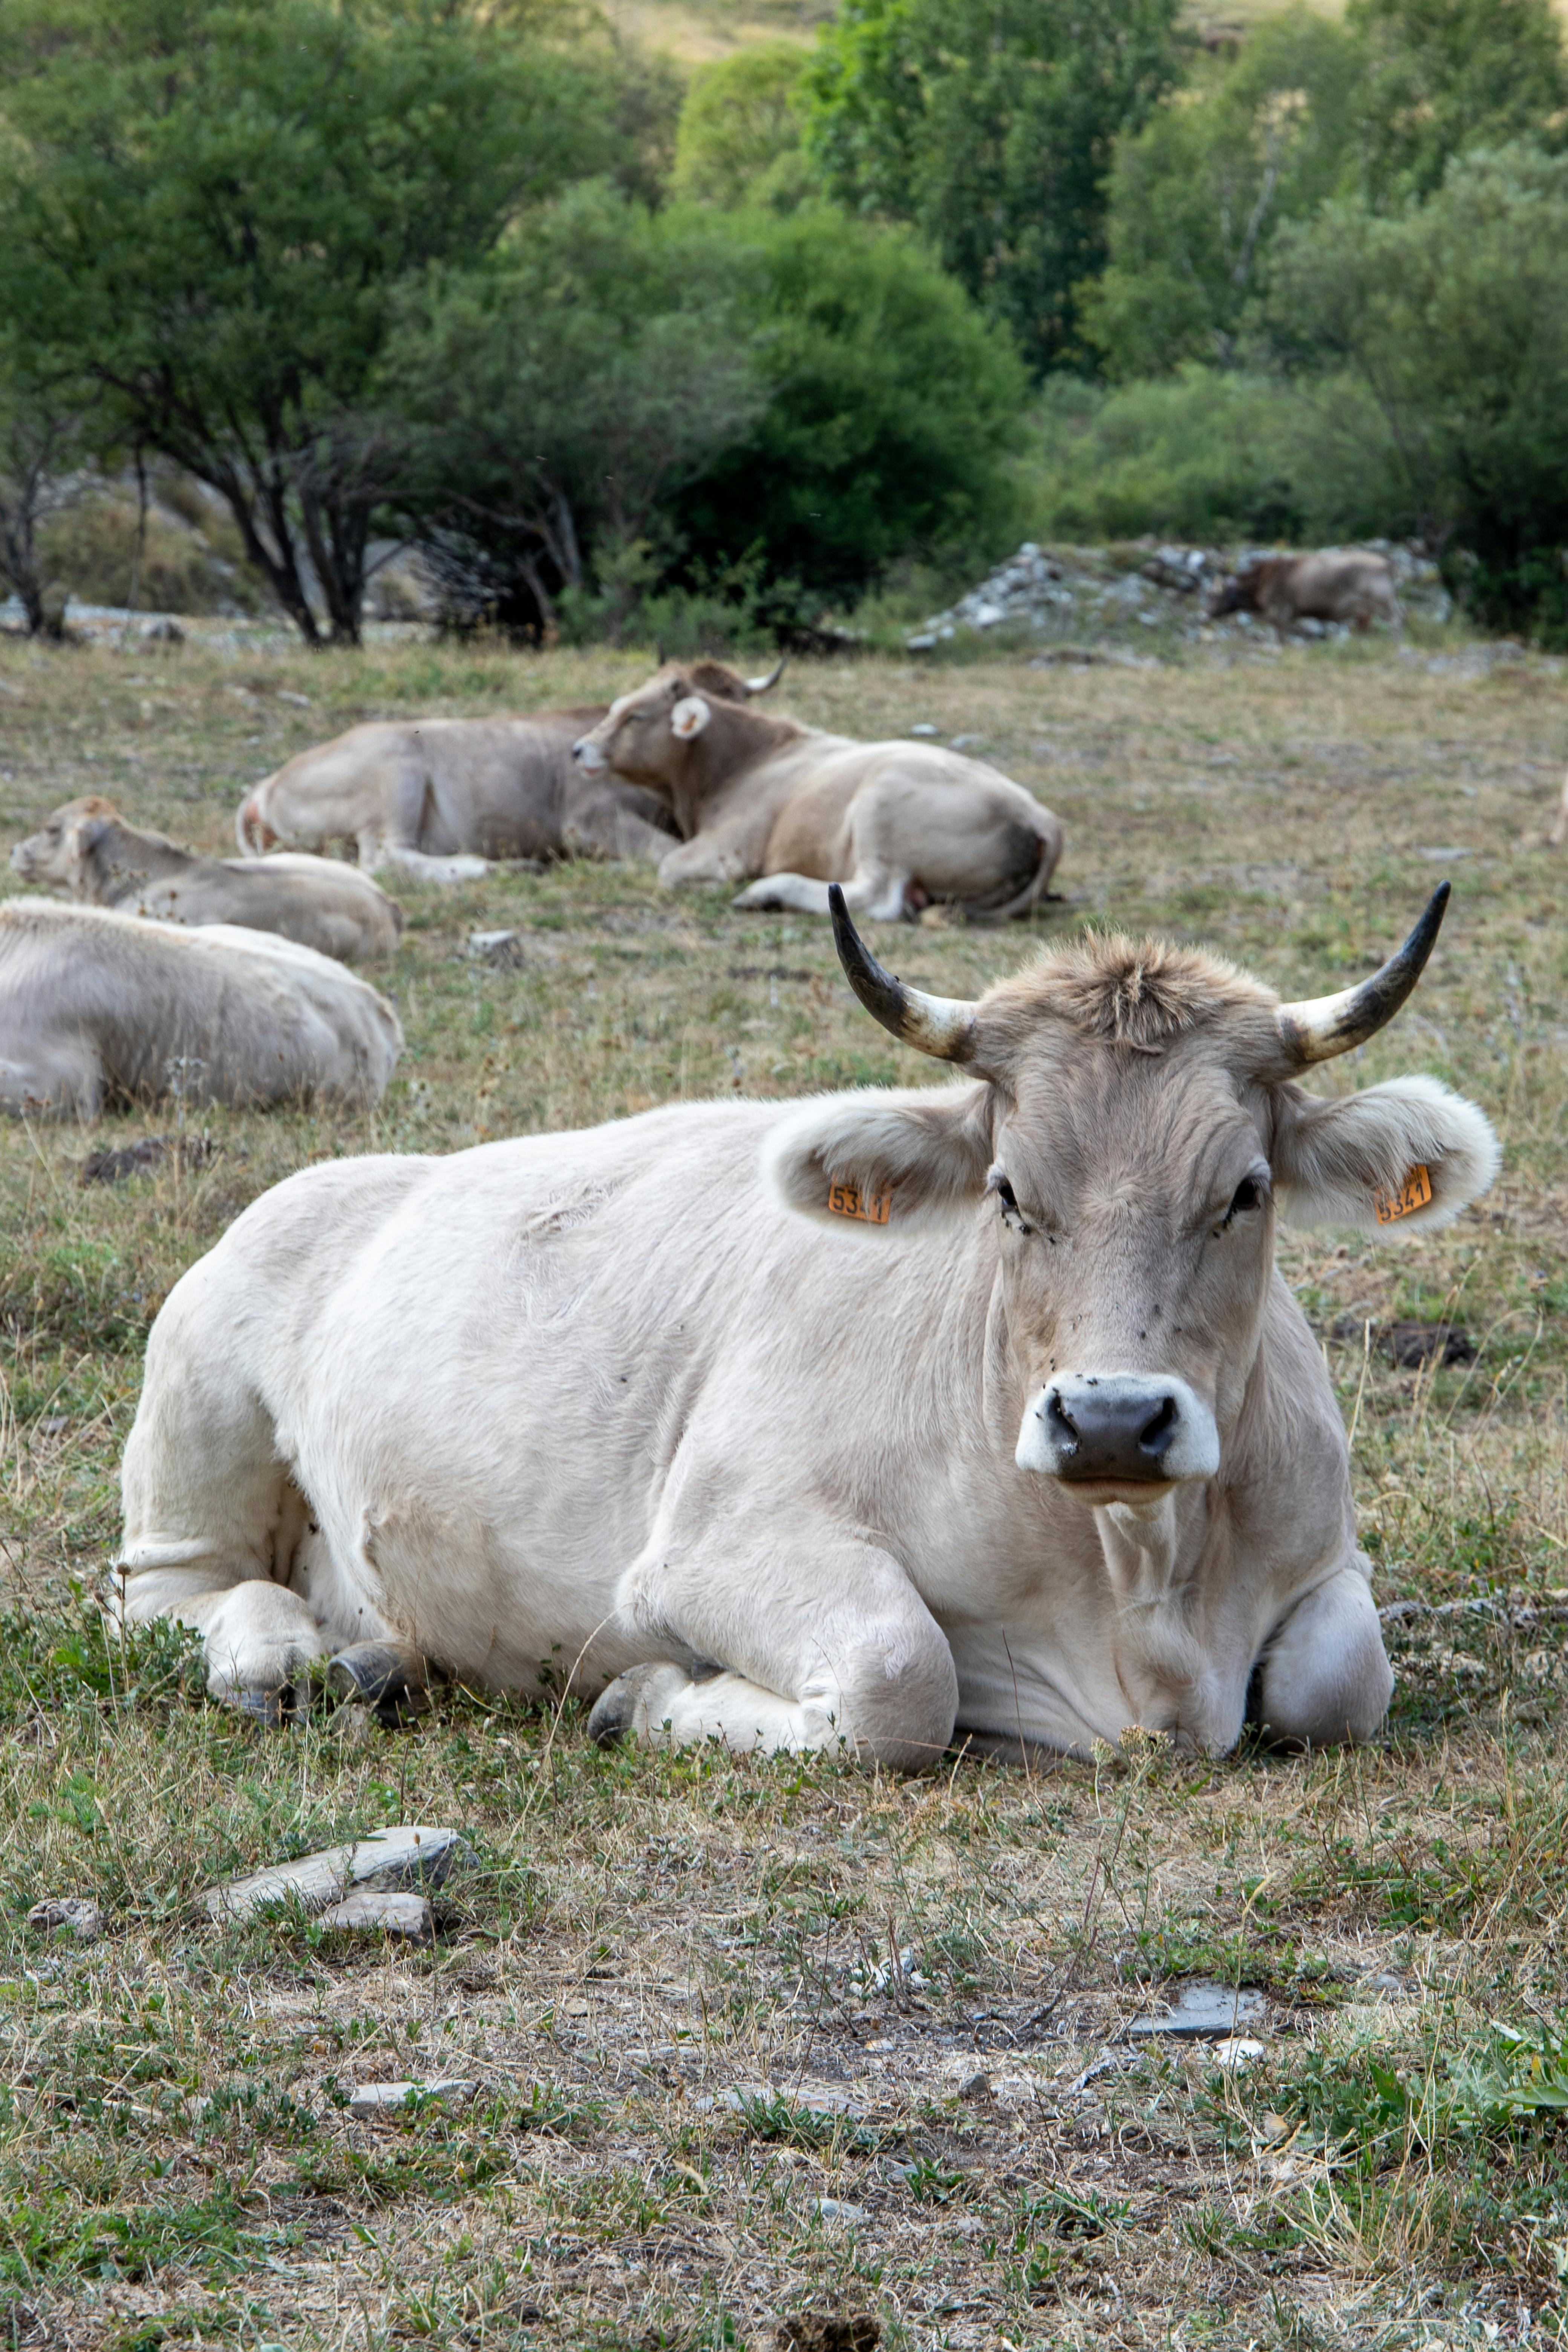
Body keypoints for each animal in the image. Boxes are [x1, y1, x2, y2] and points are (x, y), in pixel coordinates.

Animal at [112, 880, 1496, 1763]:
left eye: (1245, 1192)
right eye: (1007, 1192)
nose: (1111, 1421)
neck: (1140, 1587)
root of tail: (349, 1176)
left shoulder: (1328, 1557)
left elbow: (1341, 1681)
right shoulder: (705, 1554)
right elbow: (901, 1678)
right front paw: (644, 1702)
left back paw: (374, 1662)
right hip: (196, 1421)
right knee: (174, 1594)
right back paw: (284, 1661)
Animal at [230, 665, 787, 884]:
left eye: (743, 703)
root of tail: (266, 785)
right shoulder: (588, 818)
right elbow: (663, 852)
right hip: (396, 775)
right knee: (387, 859)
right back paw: (503, 867)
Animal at [571, 663, 1063, 920]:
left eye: (636, 716)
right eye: (615, 707)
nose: (578, 749)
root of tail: (1042, 816)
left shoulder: (728, 847)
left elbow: (668, 866)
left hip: (879, 805)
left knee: (876, 897)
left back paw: (764, 892)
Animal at [1207, 551, 1402, 642]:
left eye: (1215, 596)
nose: (1207, 613)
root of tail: (1387, 563)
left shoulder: (1282, 613)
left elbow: (1283, 639)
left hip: (1384, 602)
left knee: (1396, 620)